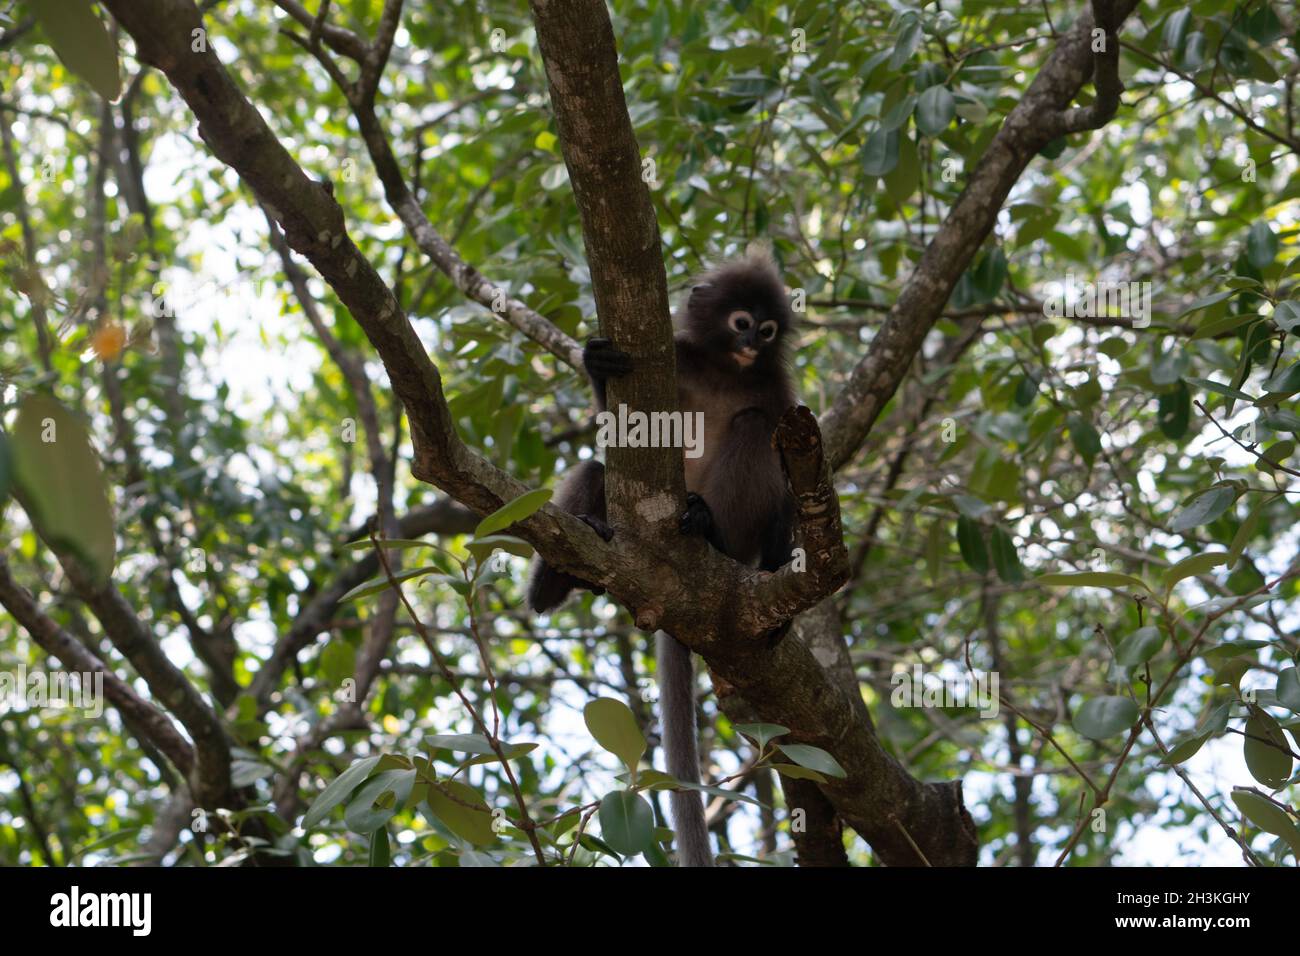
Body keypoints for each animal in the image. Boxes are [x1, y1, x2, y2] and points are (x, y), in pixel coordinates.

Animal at [527, 246, 798, 867]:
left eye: (768, 329)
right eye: (741, 322)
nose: (753, 342)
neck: (727, 369)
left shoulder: (778, 391)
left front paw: (781, 575)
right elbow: (617, 425)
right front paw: (596, 362)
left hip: (740, 532)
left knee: (753, 430)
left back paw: (708, 528)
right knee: (596, 470)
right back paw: (552, 581)